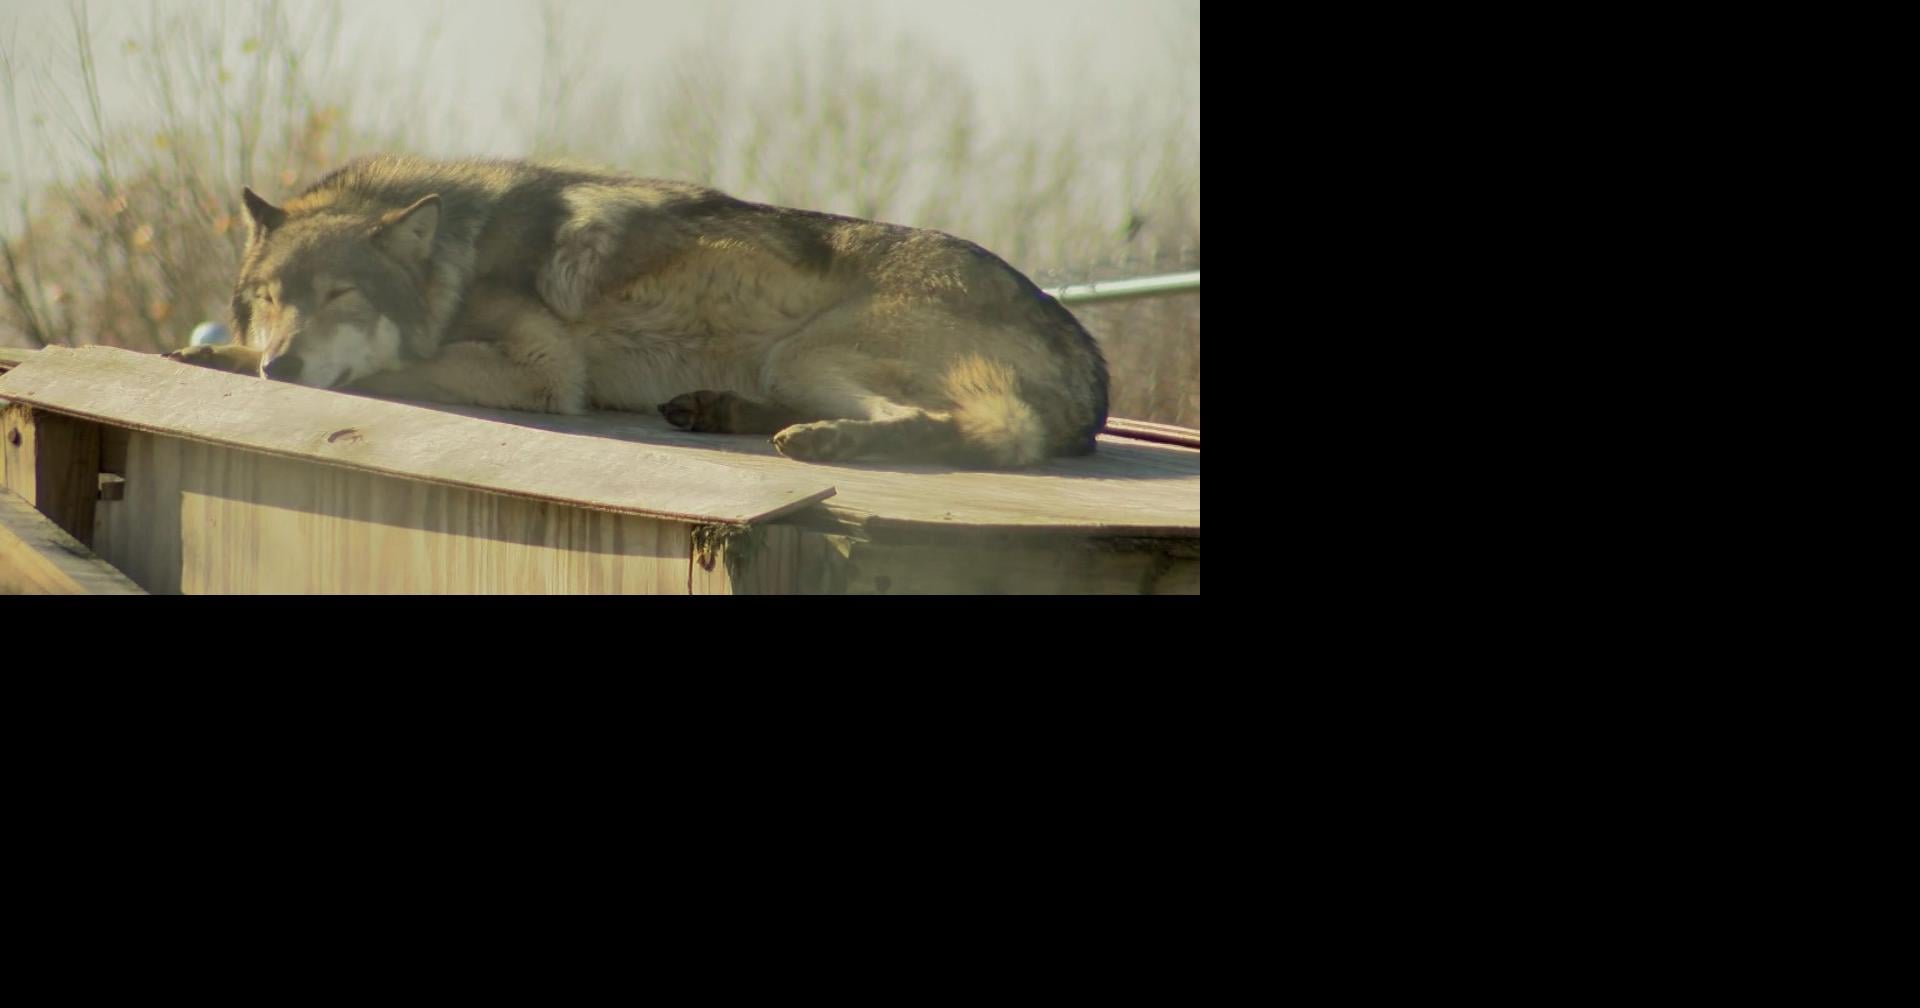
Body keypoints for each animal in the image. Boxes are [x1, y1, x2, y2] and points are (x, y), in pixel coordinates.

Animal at [166, 154, 1109, 467]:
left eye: (340, 296)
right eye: (271, 299)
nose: (282, 363)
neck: (459, 257)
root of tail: (1091, 359)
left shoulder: (545, 371)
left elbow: (393, 370)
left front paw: (234, 362)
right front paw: (219, 355)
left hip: (811, 352)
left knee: (990, 433)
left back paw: (826, 443)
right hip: (795, 363)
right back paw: (722, 412)